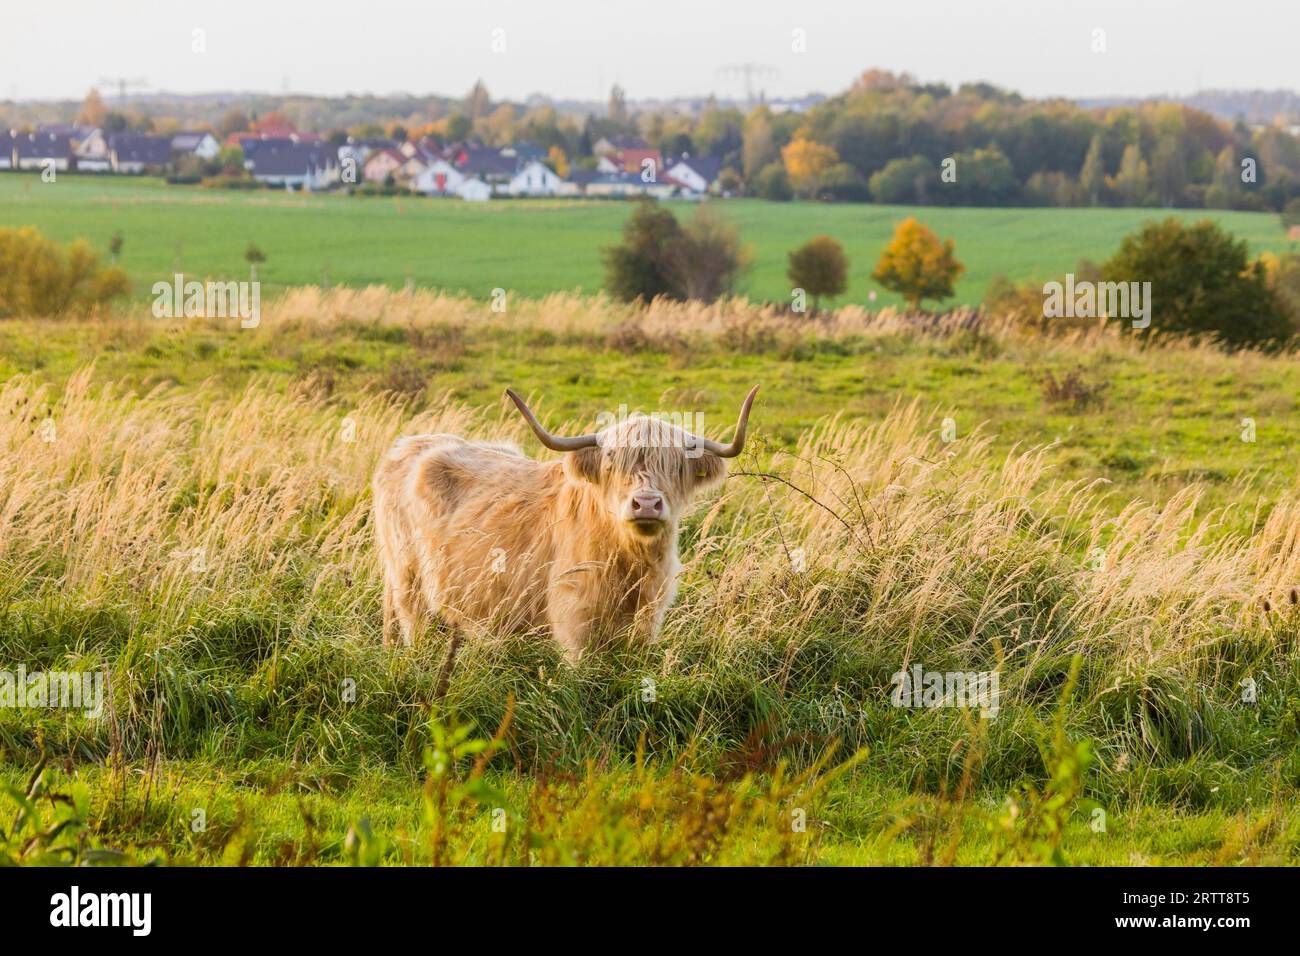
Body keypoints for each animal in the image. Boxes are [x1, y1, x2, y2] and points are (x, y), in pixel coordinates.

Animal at [372, 386, 759, 665]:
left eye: (676, 464)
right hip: (408, 579)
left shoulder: (647, 622)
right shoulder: (575, 626)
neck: (631, 566)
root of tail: (409, 444)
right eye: (612, 462)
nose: (646, 503)